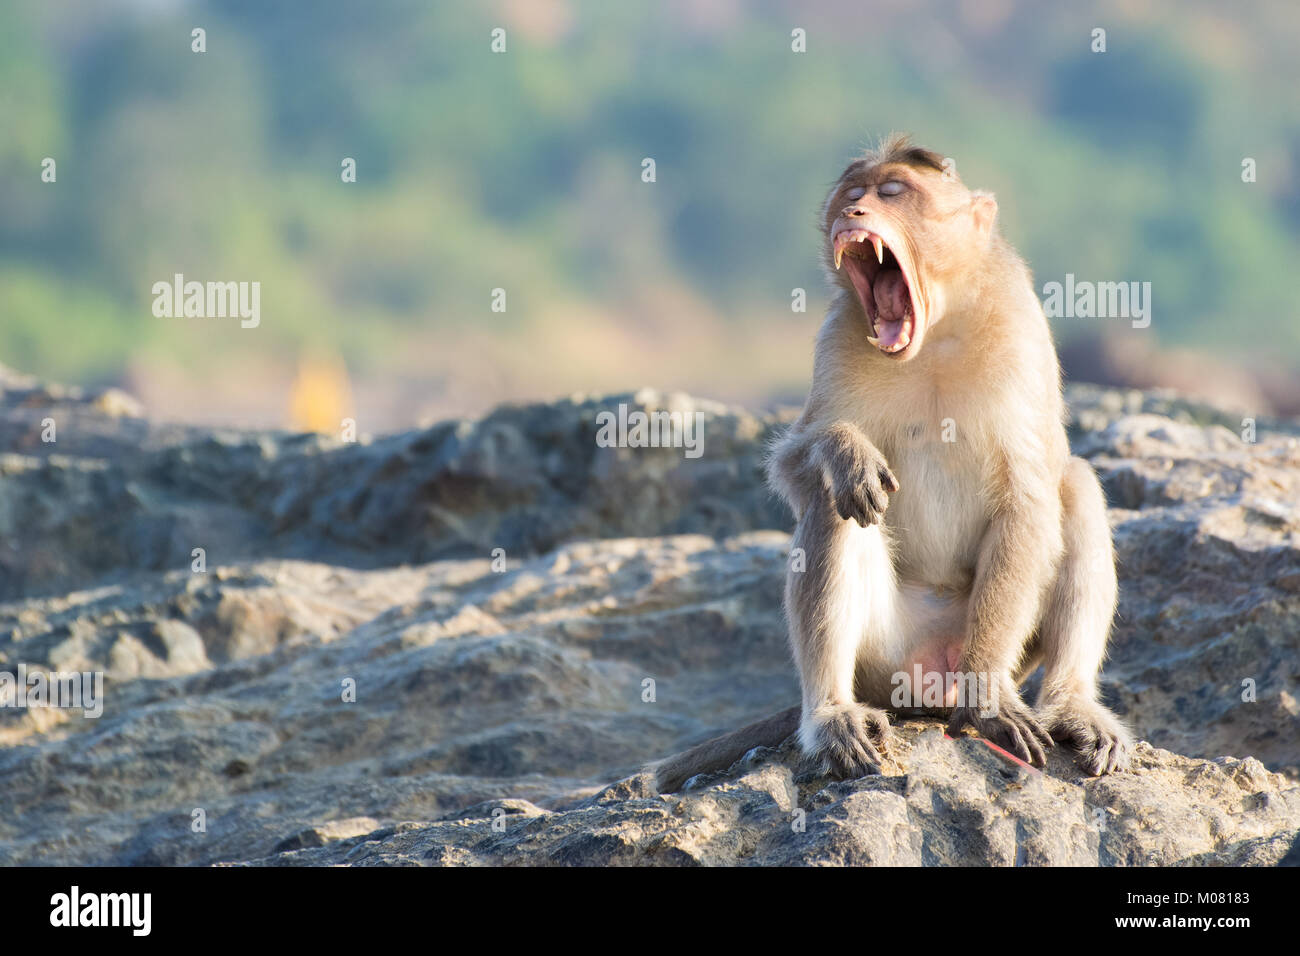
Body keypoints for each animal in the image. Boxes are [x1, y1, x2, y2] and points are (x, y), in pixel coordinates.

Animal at [653, 134, 1131, 793]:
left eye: (895, 192)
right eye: (852, 195)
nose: (854, 214)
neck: (935, 331)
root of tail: (925, 680)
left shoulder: (1024, 329)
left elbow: (1029, 497)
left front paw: (986, 697)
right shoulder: (839, 334)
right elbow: (797, 466)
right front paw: (844, 450)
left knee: (1075, 485)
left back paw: (1068, 705)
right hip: (883, 653)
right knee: (833, 507)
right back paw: (832, 714)